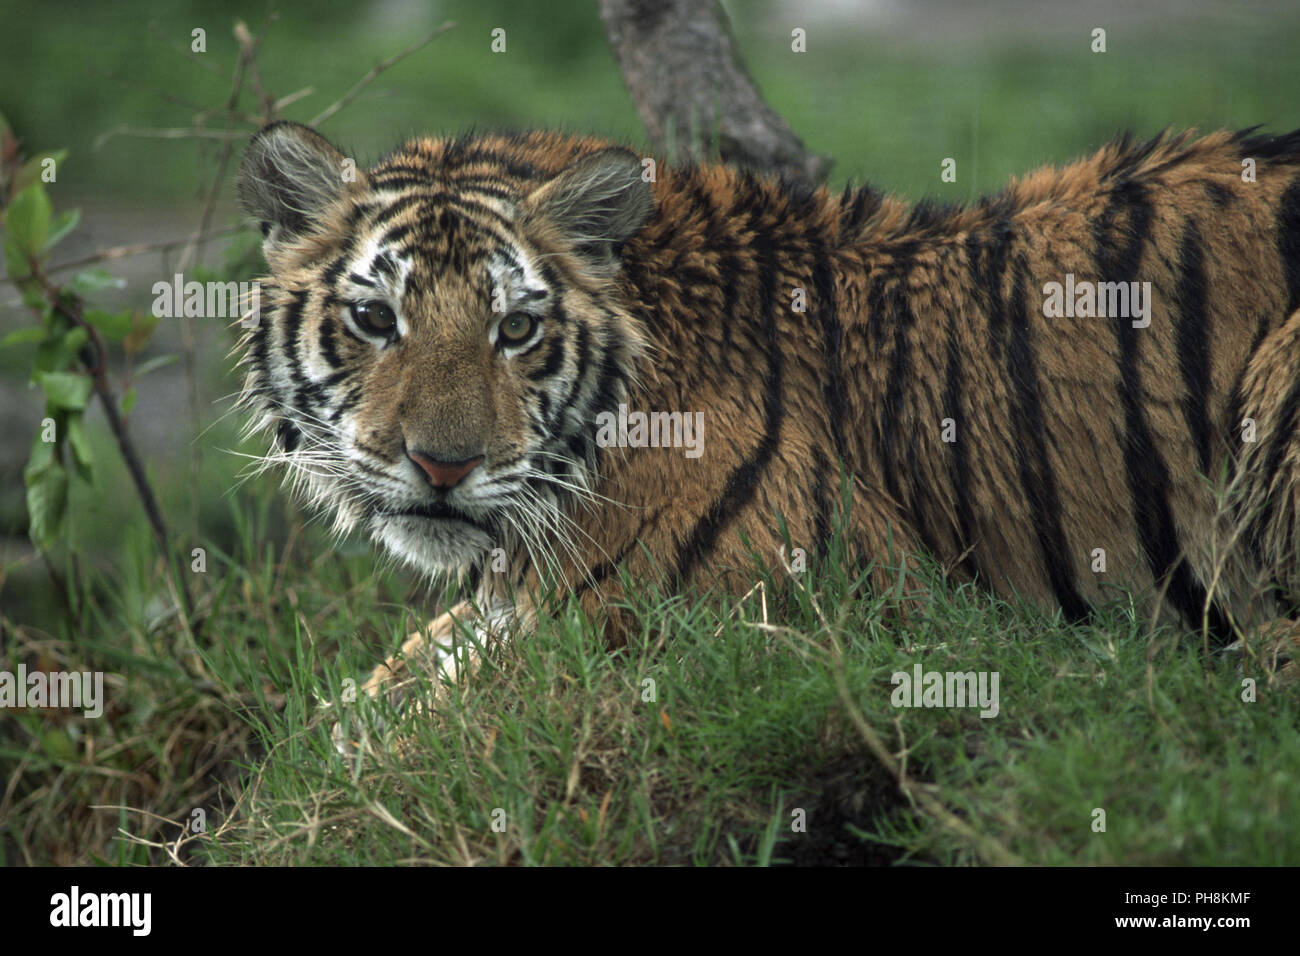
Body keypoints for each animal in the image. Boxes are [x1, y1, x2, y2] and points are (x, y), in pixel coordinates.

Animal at [235, 121, 1300, 739]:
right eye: (377, 319)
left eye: (517, 330)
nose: (442, 466)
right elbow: (361, 704)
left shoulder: (754, 620)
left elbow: (404, 734)